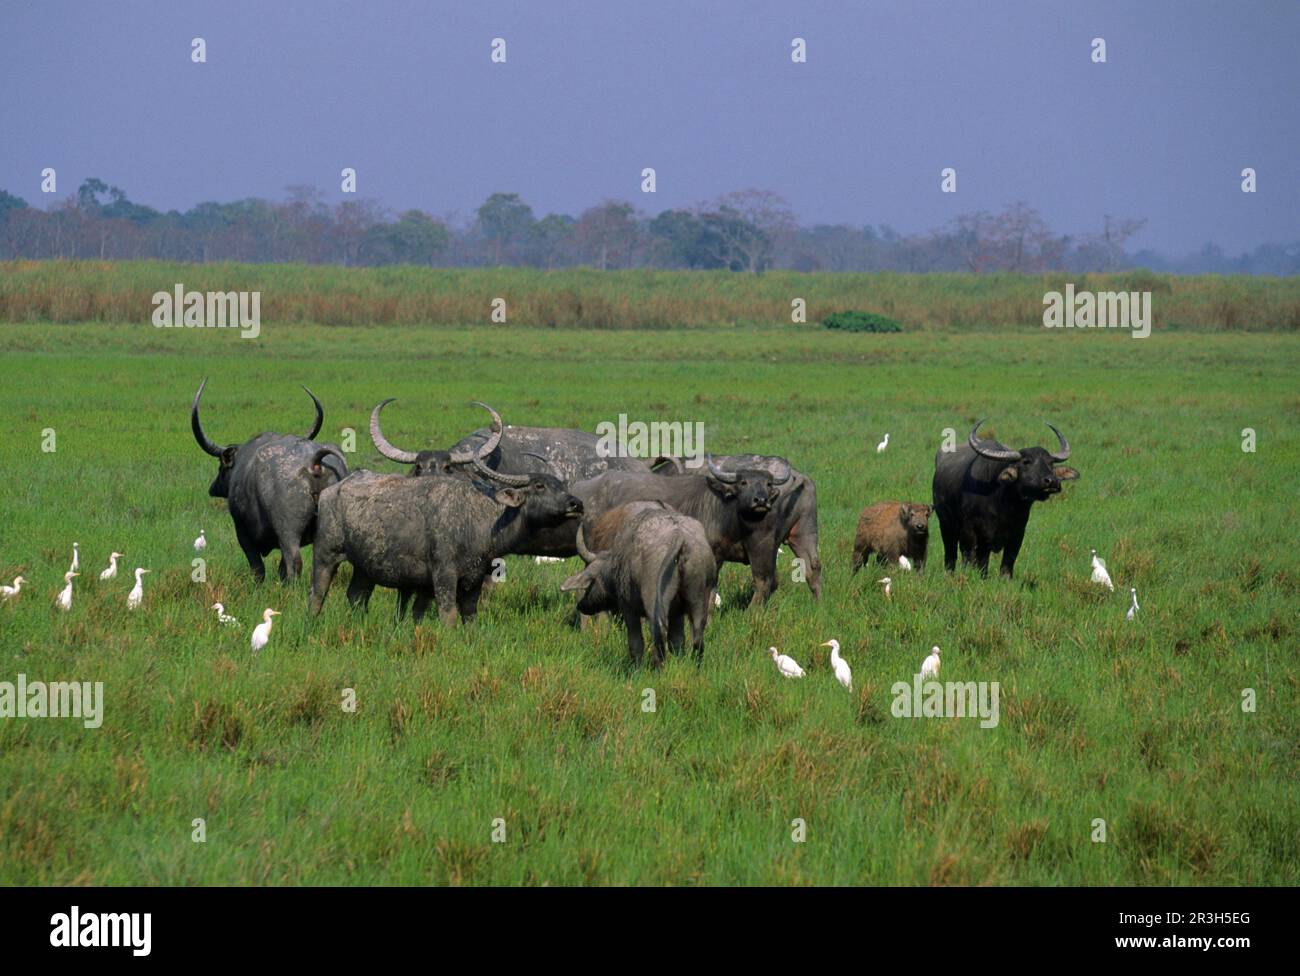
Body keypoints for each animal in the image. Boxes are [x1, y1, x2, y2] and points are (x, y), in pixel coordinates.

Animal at [190, 378, 348, 582]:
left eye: (221, 467)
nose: (213, 488)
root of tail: (315, 461)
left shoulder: (243, 533)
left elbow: (258, 567)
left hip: (288, 531)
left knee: (294, 561)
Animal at [932, 420, 1078, 577]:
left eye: (1050, 462)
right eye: (1026, 461)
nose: (1052, 481)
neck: (1003, 506)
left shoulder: (1017, 534)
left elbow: (1006, 565)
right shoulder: (970, 532)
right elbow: (972, 561)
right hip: (946, 526)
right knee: (950, 556)